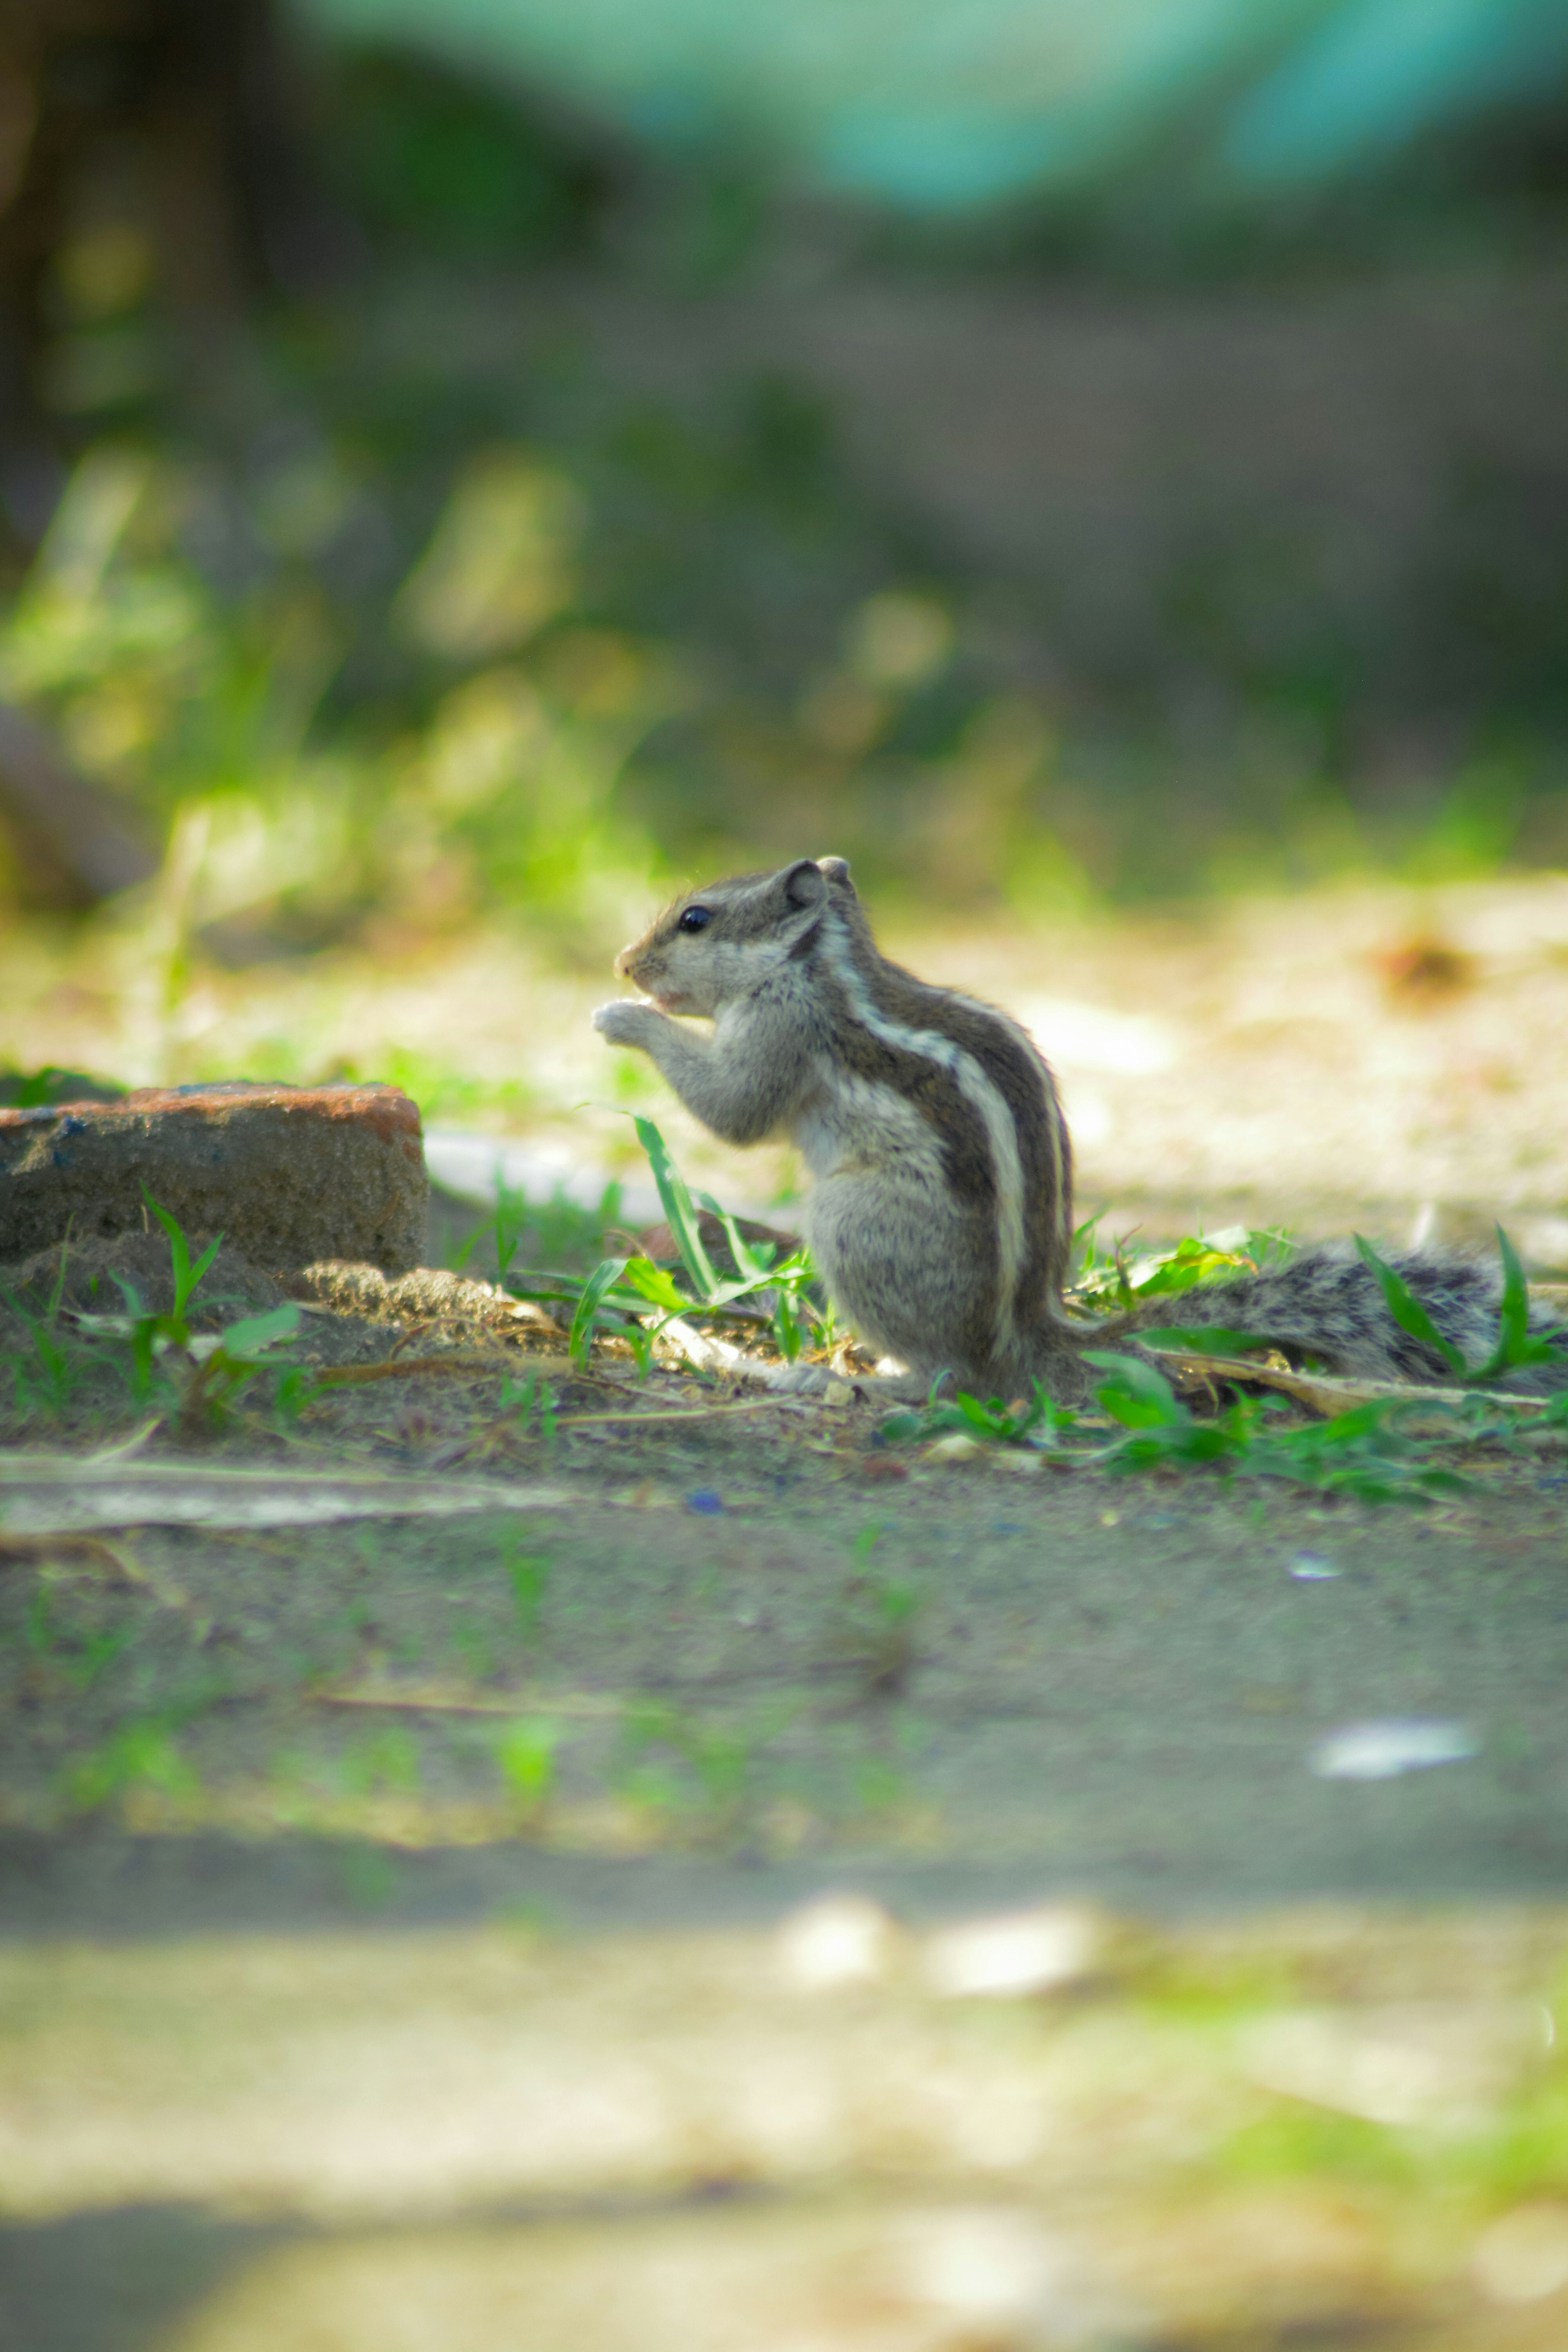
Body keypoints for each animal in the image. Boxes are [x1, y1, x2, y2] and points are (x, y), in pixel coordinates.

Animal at [593, 855, 1568, 1402]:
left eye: (694, 920)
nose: (624, 961)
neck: (815, 961)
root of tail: (1029, 1333)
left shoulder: (783, 1029)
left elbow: (735, 1112)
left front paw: (622, 1019)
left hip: (854, 1223)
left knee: (950, 1377)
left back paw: (838, 1377)